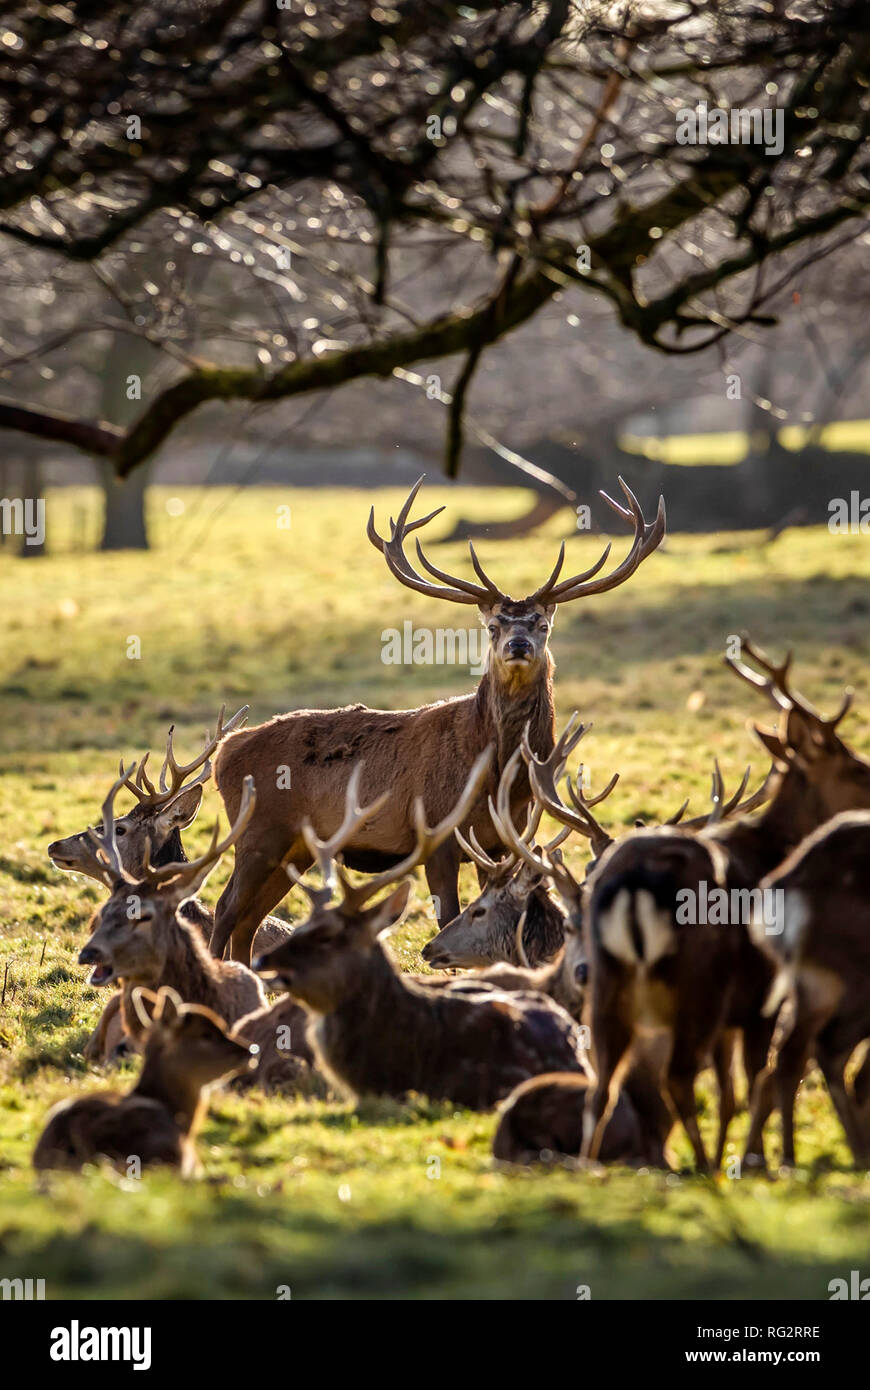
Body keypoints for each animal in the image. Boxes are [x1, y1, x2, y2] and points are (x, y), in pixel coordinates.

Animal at [210, 474, 665, 964]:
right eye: (493, 626)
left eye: (543, 624)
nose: (518, 644)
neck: (500, 776)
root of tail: (223, 752)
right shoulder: (436, 832)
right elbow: (449, 914)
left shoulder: (502, 840)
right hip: (258, 830)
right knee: (226, 908)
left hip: (293, 846)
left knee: (249, 919)